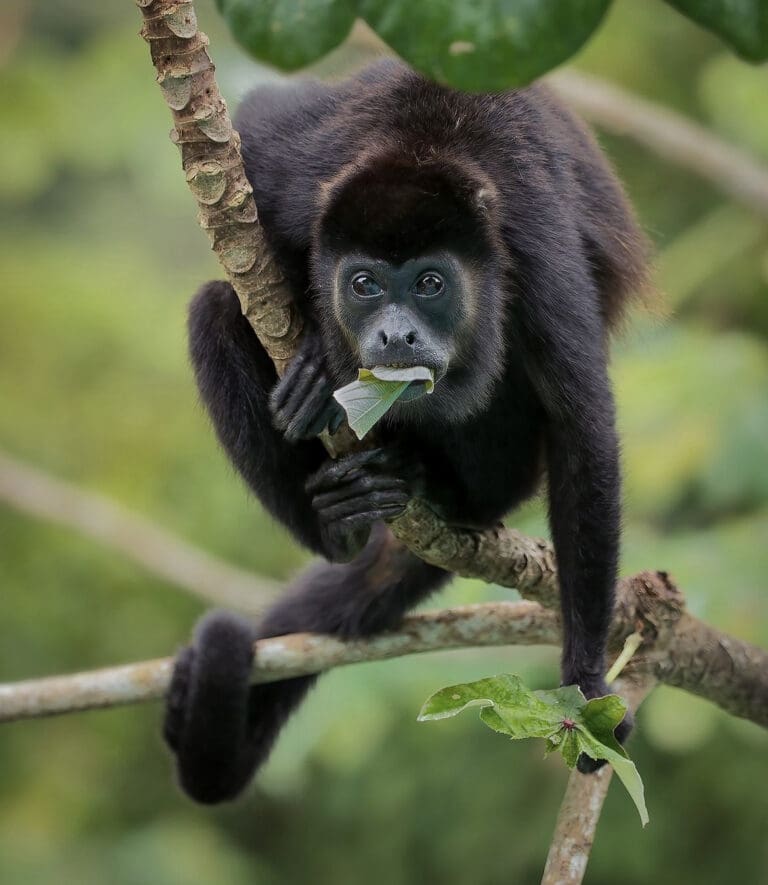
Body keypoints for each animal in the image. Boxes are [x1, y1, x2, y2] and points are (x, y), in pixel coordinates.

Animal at [162, 60, 649, 804]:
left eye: (430, 283)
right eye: (364, 283)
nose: (395, 334)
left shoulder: (536, 247)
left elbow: (582, 431)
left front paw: (586, 683)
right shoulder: (289, 174)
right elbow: (245, 159)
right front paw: (313, 353)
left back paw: (426, 484)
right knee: (214, 307)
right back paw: (339, 522)